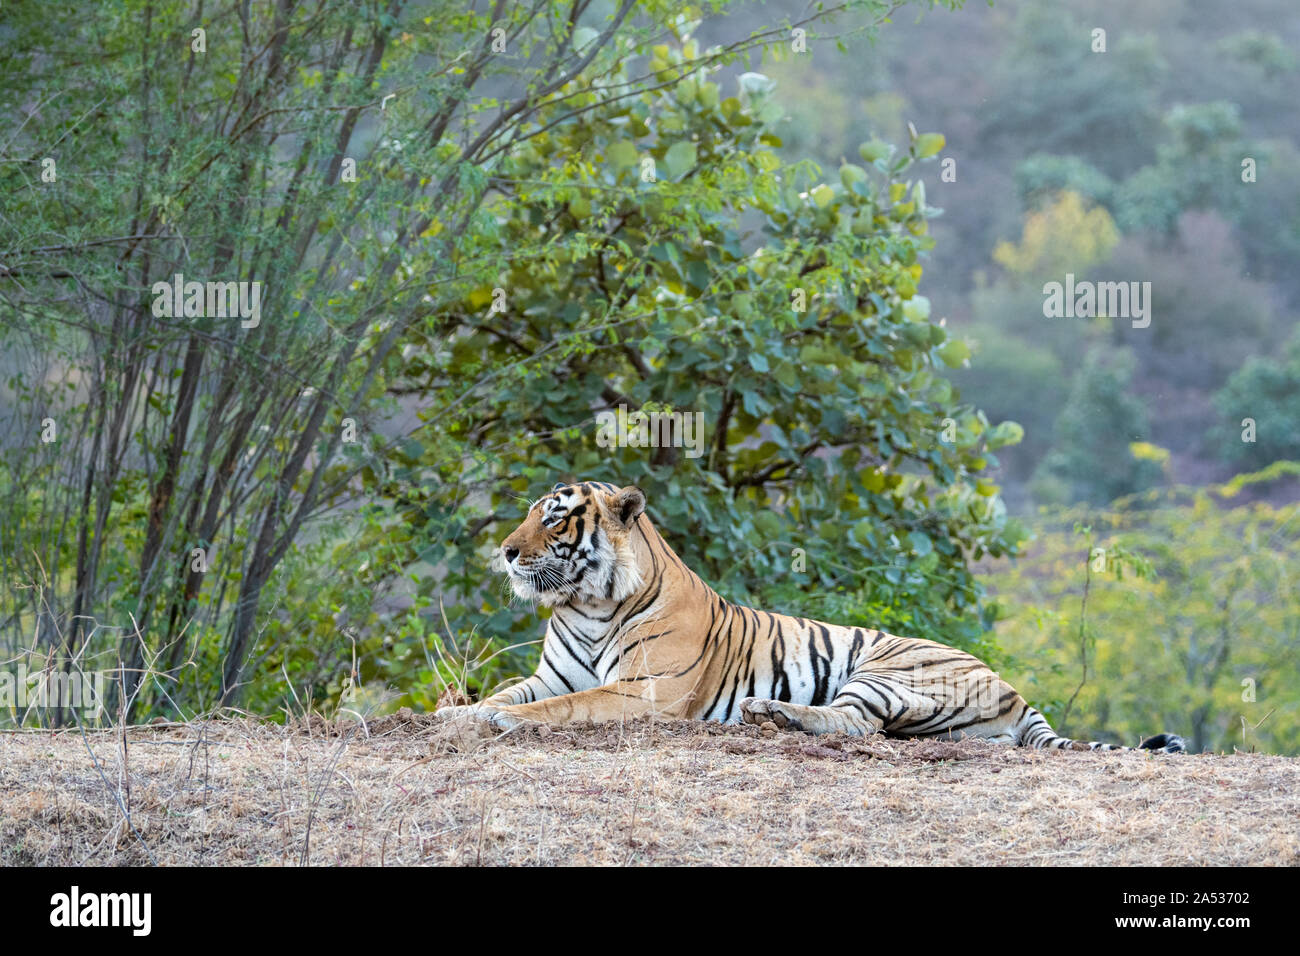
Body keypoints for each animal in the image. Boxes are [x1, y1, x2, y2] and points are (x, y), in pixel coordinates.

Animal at [433, 481, 1186, 754]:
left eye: (554, 517)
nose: (505, 552)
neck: (589, 602)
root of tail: (1016, 690)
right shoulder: (554, 675)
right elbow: (512, 692)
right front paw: (457, 711)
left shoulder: (644, 692)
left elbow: (563, 708)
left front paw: (497, 721)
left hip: (888, 668)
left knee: (856, 724)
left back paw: (771, 715)